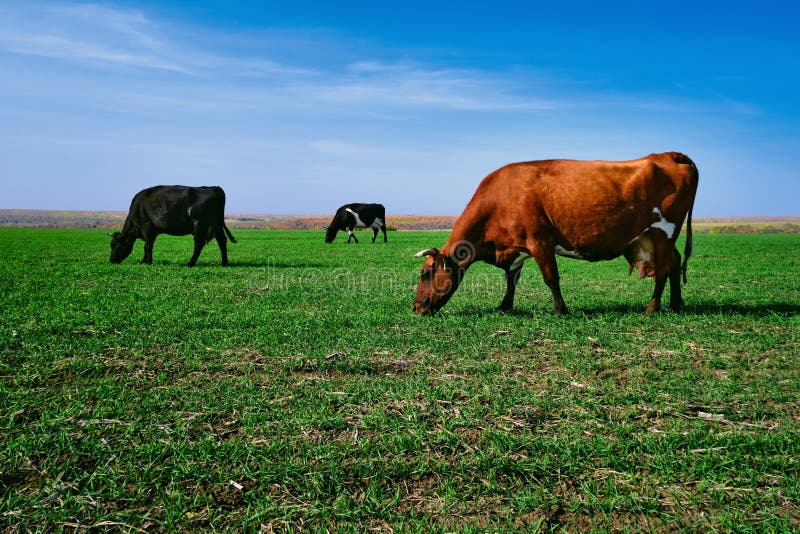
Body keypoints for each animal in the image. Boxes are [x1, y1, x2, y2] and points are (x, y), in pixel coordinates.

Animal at [413, 152, 699, 316]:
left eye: (425, 273)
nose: (415, 308)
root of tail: (670, 154)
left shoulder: (539, 241)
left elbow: (551, 278)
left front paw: (561, 310)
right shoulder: (516, 247)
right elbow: (511, 279)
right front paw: (504, 306)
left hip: (665, 230)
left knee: (662, 269)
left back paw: (651, 309)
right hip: (655, 236)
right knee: (674, 263)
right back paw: (676, 304)